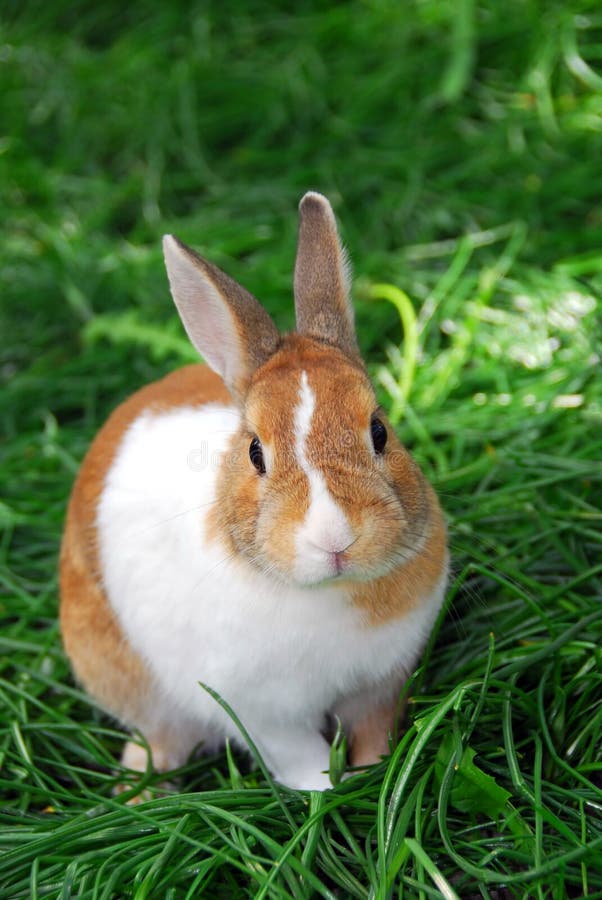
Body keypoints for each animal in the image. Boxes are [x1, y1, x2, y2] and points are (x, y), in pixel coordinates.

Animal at [59, 192, 448, 792]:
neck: (326, 592)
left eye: (379, 430)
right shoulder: (258, 713)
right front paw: (326, 791)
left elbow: (373, 731)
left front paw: (371, 771)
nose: (335, 539)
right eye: (255, 452)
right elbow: (297, 757)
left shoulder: (380, 685)